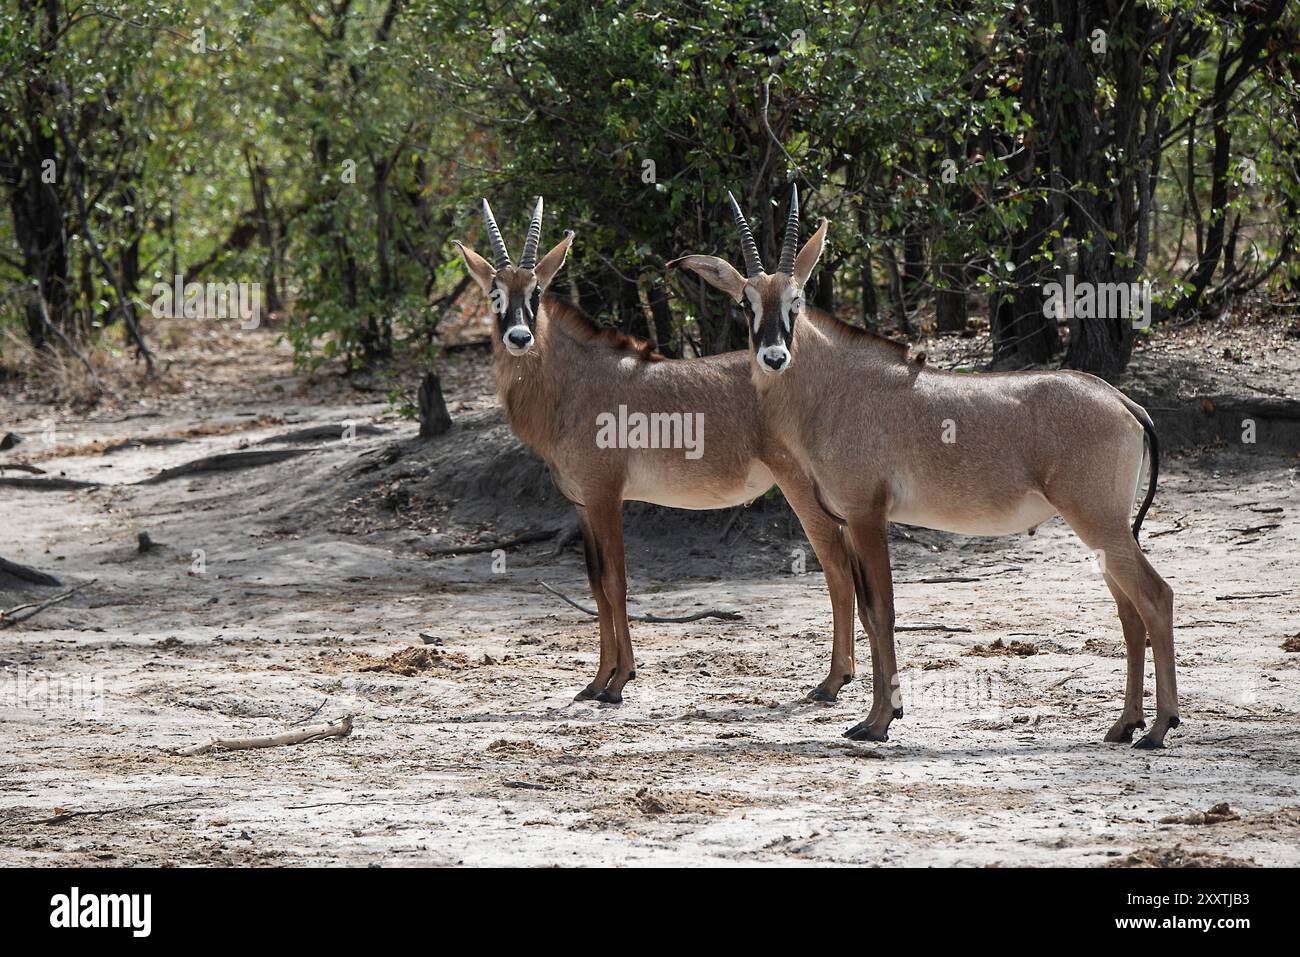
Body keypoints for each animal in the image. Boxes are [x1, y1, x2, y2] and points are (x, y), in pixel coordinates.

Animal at [452, 197, 859, 703]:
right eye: (495, 294)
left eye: (536, 291)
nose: (519, 338)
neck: (572, 384)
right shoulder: (581, 504)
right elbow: (595, 584)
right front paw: (596, 681)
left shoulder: (606, 496)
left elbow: (615, 581)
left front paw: (618, 681)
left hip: (799, 486)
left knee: (836, 566)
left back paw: (832, 681)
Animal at [671, 187, 1179, 748]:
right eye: (747, 302)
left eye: (795, 302)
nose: (774, 357)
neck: (836, 389)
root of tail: (1122, 401)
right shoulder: (850, 522)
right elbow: (868, 611)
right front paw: (877, 715)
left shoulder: (868, 516)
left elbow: (884, 609)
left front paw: (877, 721)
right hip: (1105, 529)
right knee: (1130, 610)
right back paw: (1124, 724)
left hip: (1099, 521)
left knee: (1156, 596)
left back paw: (1160, 727)